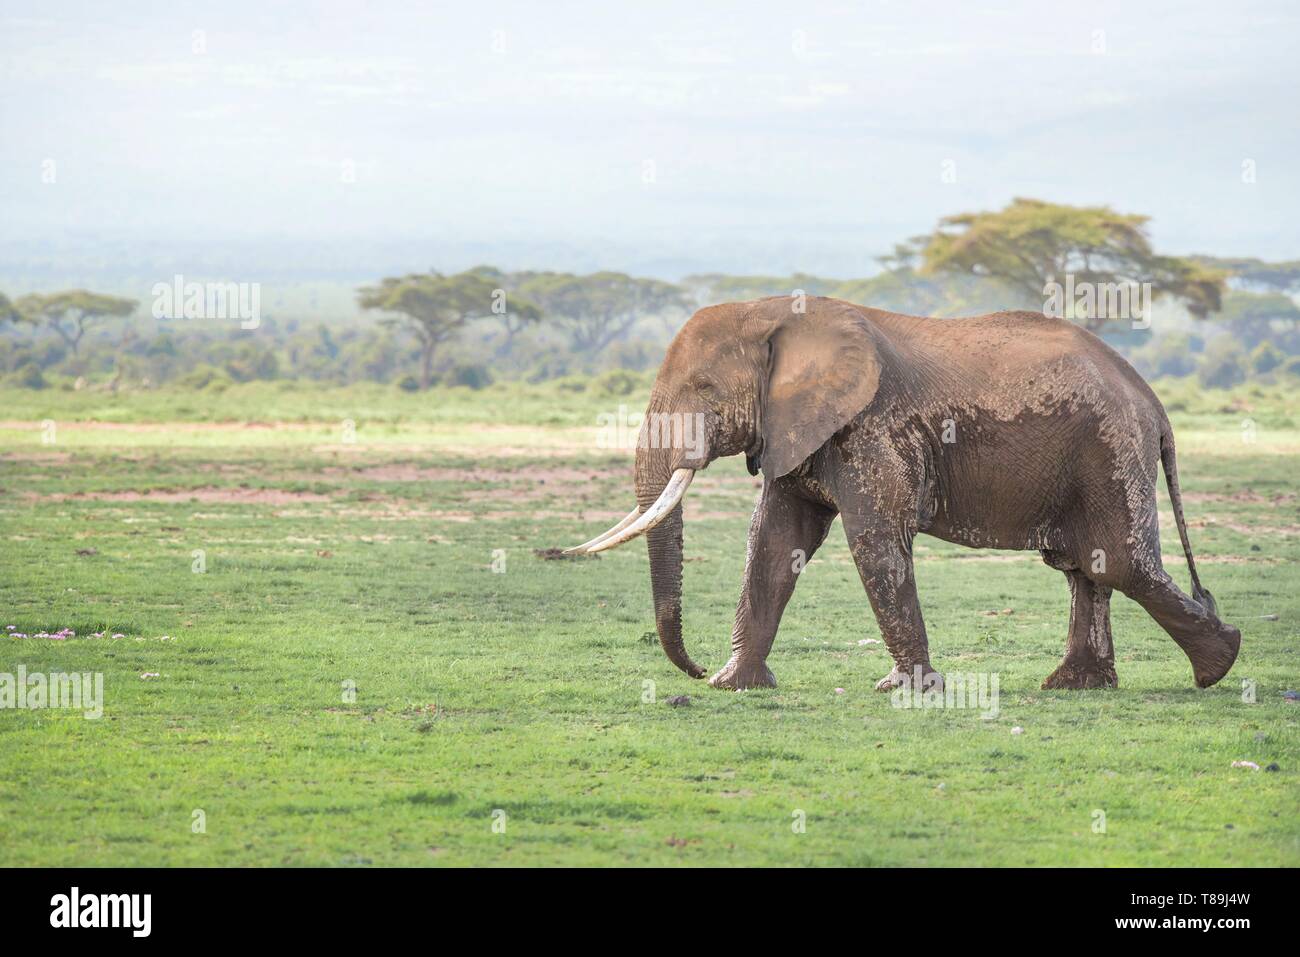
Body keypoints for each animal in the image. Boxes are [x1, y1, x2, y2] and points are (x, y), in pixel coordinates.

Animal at [564, 296, 1241, 693]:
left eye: (704, 389)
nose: (697, 668)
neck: (781, 313)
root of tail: (1154, 402)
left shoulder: (869, 427)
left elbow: (874, 539)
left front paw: (907, 691)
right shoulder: (801, 427)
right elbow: (775, 541)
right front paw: (734, 686)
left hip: (1110, 450)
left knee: (1119, 562)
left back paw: (1219, 665)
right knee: (1086, 566)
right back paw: (1075, 686)